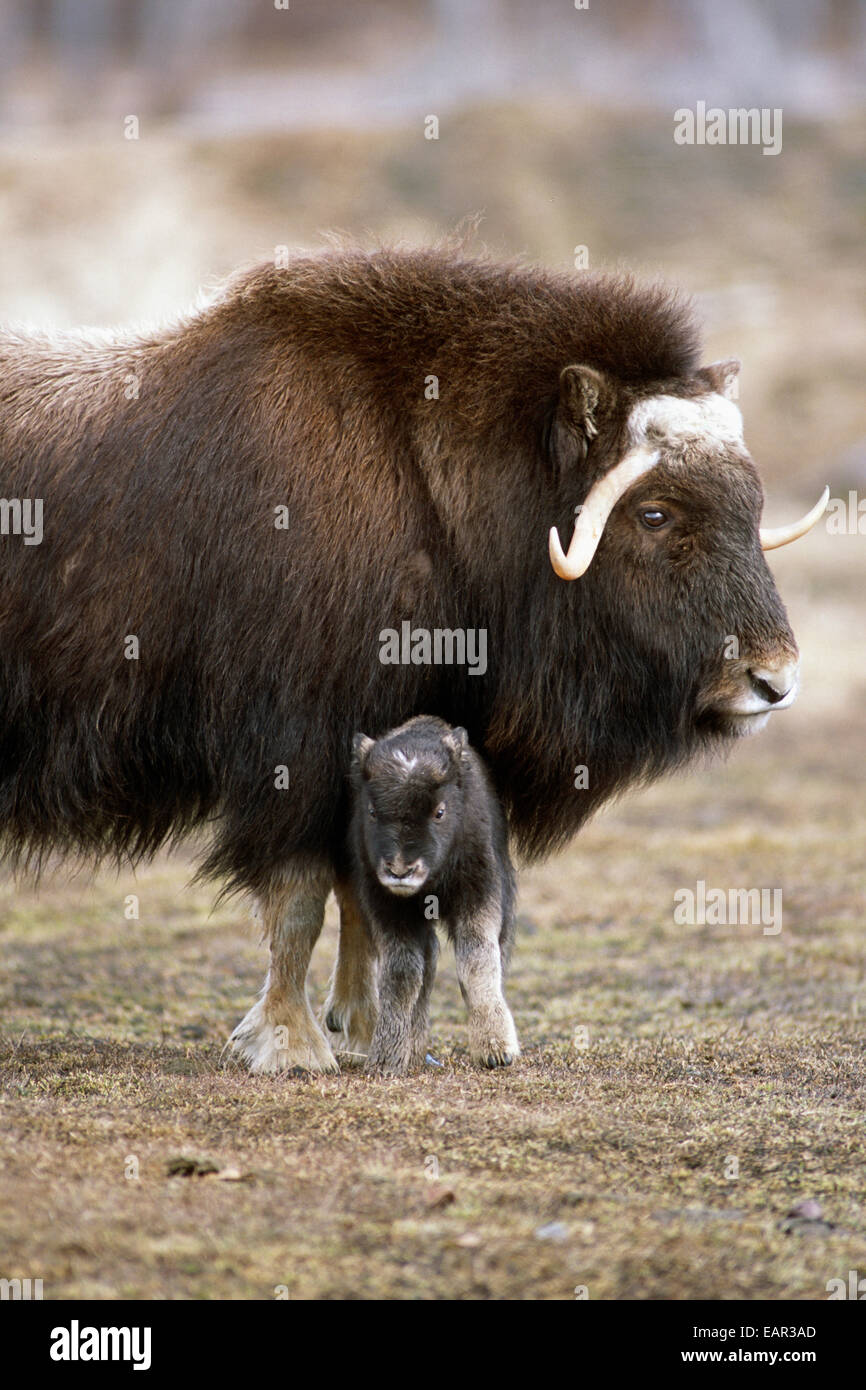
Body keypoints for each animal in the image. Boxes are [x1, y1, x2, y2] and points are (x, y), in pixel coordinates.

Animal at [0, 245, 826, 1073]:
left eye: (752, 508)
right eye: (654, 513)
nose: (773, 680)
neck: (432, 484)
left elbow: (358, 892)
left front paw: (361, 1026)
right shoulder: (295, 747)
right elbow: (302, 898)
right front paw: (293, 1044)